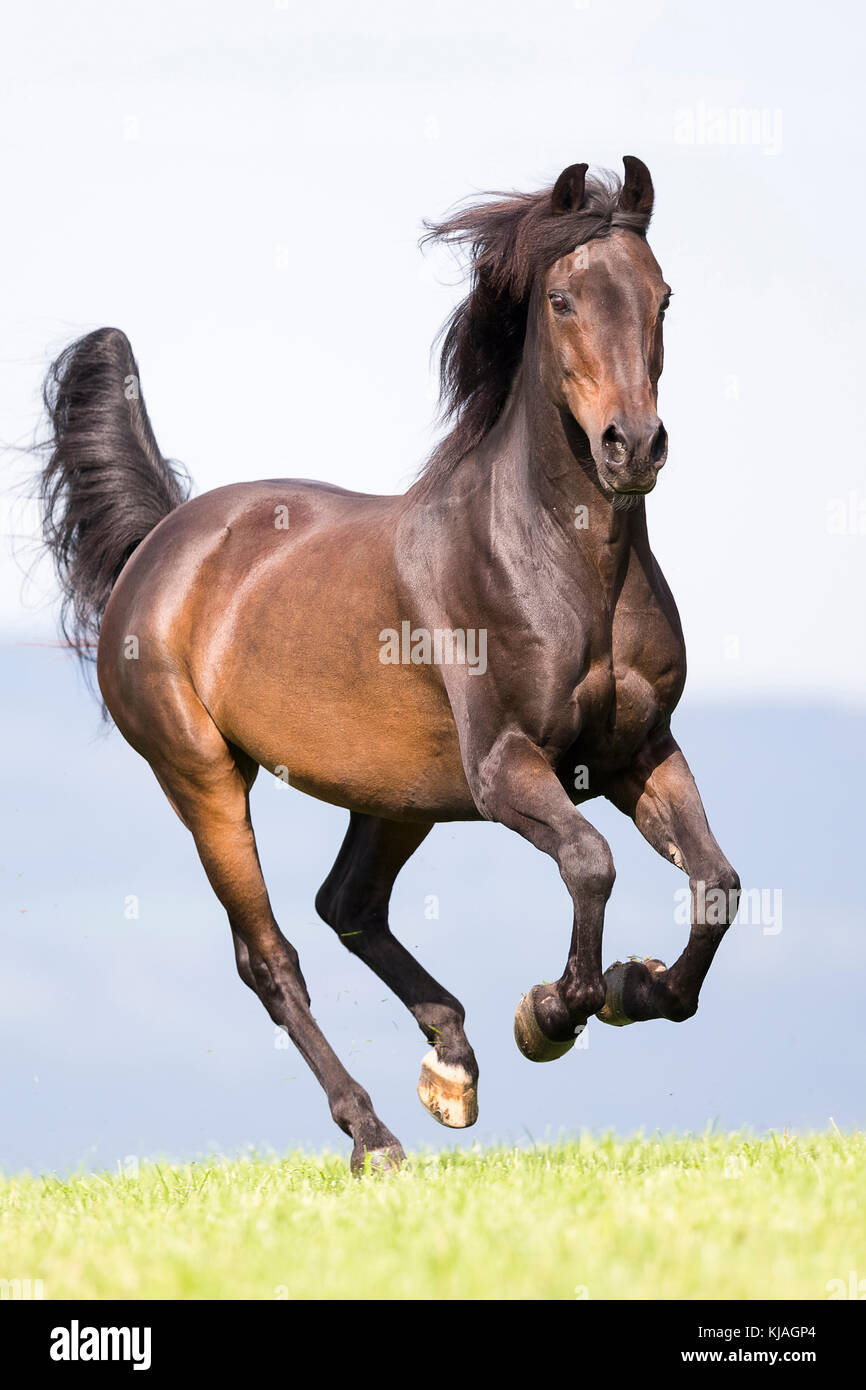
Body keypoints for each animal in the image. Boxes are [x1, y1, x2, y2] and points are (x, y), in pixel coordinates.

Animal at [37, 156, 740, 1173]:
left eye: (664, 297)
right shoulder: (505, 768)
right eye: (562, 298)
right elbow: (589, 861)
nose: (633, 447)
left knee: (350, 903)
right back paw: (374, 1134)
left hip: (395, 792)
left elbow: (718, 885)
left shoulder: (636, 752)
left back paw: (451, 1064)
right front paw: (555, 1012)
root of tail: (161, 545)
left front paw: (638, 986)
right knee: (271, 957)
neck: (555, 561)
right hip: (201, 776)